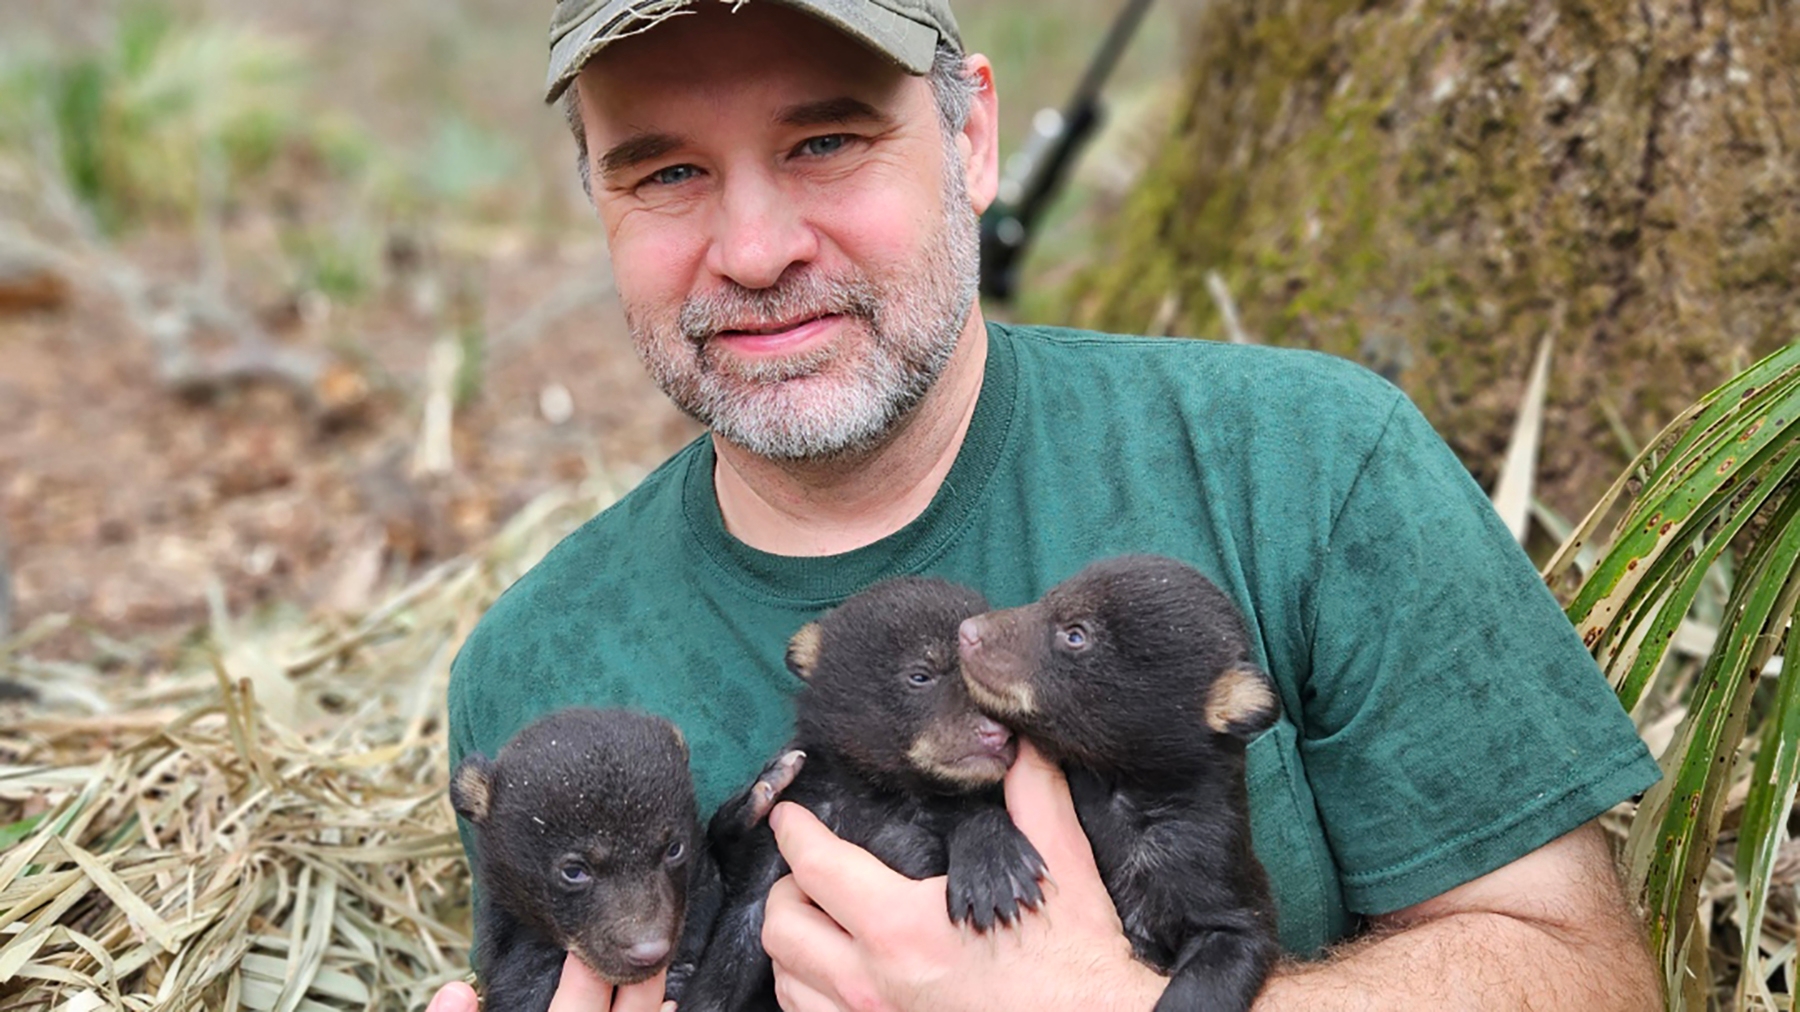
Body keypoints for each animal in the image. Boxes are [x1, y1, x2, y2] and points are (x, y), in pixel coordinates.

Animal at [678, 575, 1049, 1012]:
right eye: (920, 675)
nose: (997, 733)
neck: (878, 791)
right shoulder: (782, 832)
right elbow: (736, 940)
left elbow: (964, 817)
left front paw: (994, 871)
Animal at [956, 554, 1281, 1012]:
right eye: (1046, 598)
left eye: (1076, 634)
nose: (967, 632)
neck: (1121, 791)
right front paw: (990, 869)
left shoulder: (1212, 859)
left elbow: (1233, 944)